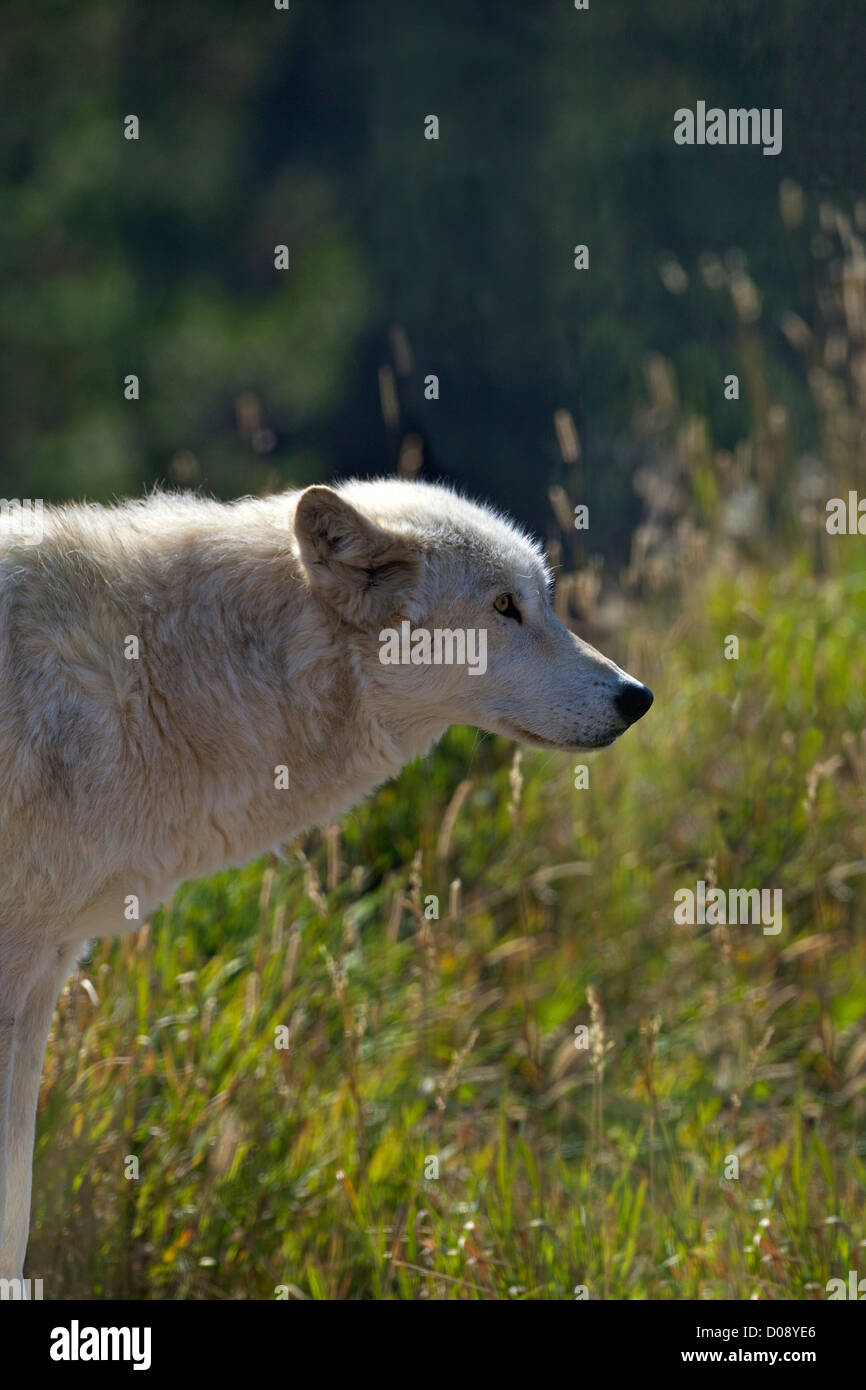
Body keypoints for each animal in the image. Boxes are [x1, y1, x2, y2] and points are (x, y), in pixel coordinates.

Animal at [0, 477, 652, 1280]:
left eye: (545, 601)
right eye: (504, 606)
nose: (637, 696)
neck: (153, 676)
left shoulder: (48, 970)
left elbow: (17, 1211)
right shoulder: (18, 965)